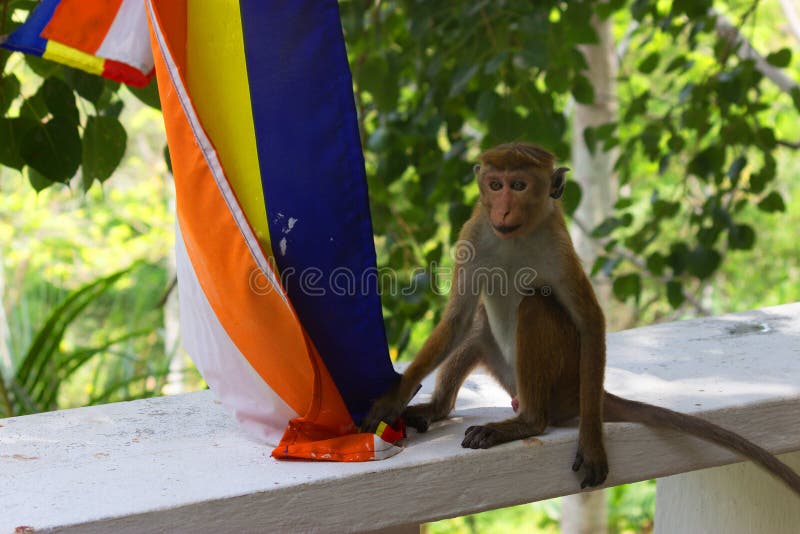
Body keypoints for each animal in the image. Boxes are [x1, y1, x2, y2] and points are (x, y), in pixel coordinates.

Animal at [362, 142, 800, 495]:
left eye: (519, 186)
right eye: (495, 185)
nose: (502, 207)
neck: (514, 237)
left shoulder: (559, 245)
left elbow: (589, 321)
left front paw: (591, 443)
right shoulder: (473, 234)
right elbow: (457, 319)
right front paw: (393, 399)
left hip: (562, 382)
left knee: (535, 306)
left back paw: (526, 424)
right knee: (480, 324)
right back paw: (437, 408)